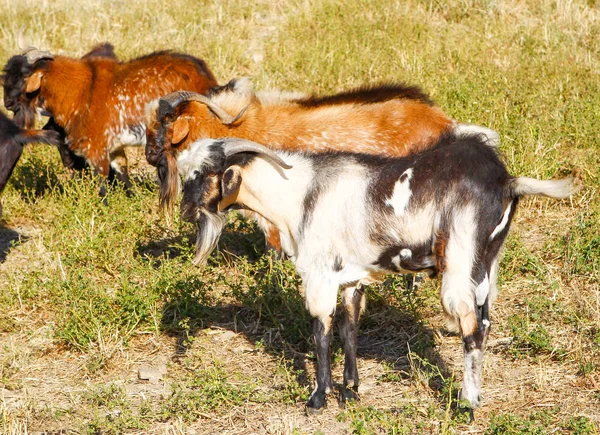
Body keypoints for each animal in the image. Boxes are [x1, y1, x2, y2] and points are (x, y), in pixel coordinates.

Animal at [173, 135, 576, 418]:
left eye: (200, 175)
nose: (184, 210)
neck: (301, 194)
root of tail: (506, 181)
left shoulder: (319, 275)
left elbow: (321, 332)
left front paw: (318, 398)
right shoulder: (352, 277)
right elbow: (349, 328)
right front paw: (350, 389)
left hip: (460, 264)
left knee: (471, 330)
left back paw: (467, 404)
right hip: (488, 266)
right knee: (486, 323)